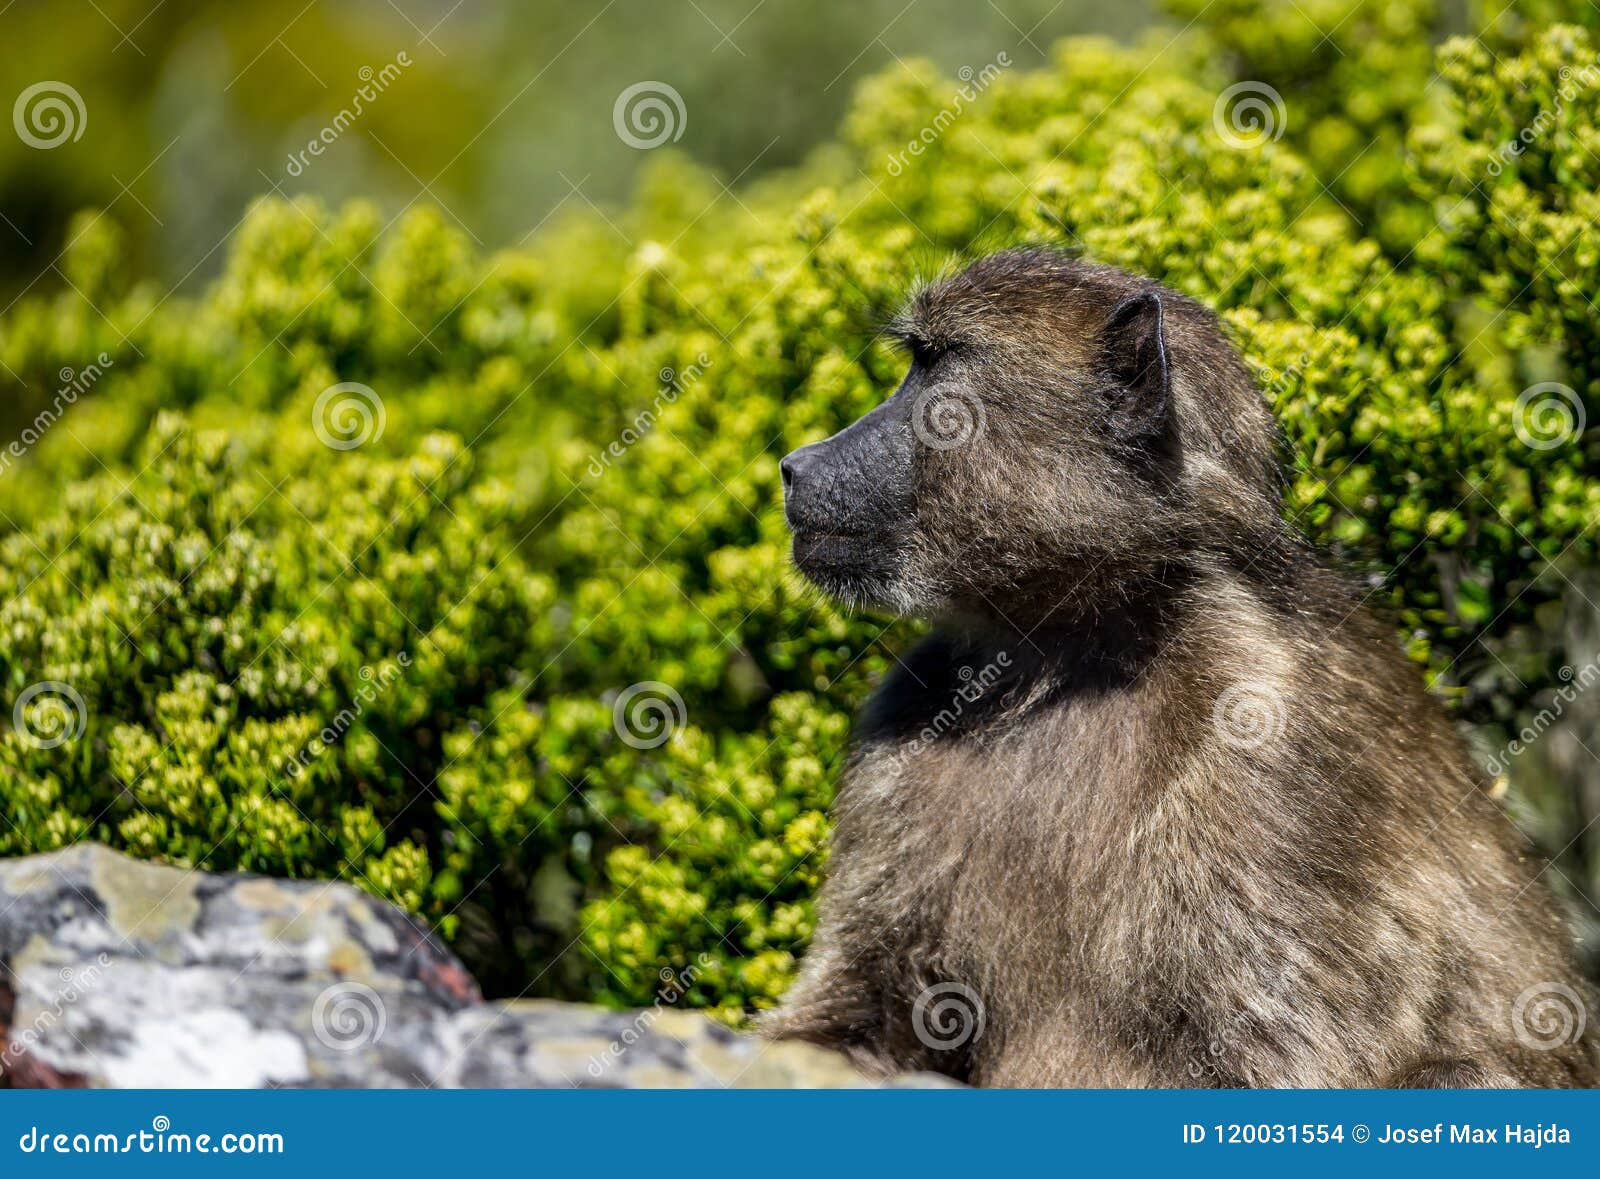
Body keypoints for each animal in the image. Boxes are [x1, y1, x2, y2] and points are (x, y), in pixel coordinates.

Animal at [761, 247, 1600, 1088]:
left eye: (935, 366)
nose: (796, 466)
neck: (1075, 647)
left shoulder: (1266, 734)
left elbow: (1276, 1058)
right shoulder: (910, 702)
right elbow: (855, 1008)